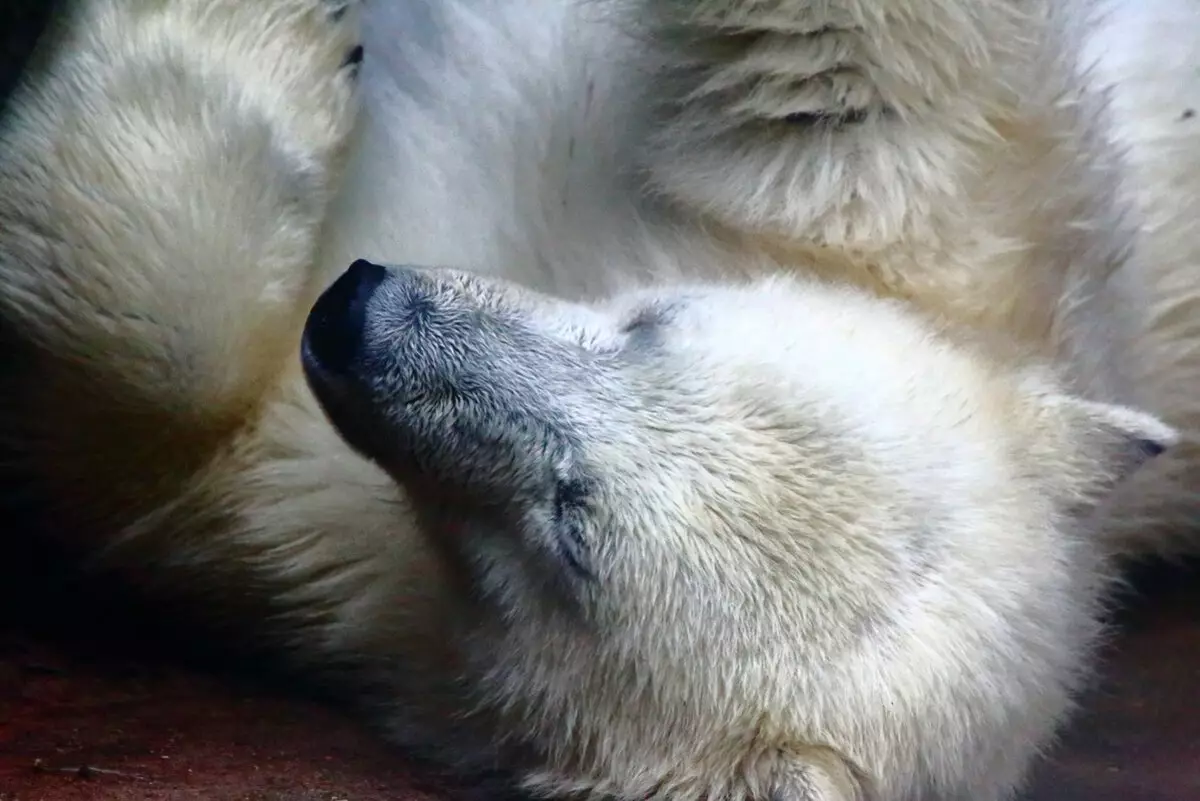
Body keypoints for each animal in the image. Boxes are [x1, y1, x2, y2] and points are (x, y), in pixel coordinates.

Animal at [2, 0, 1200, 796]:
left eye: (569, 521)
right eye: (651, 324)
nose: (358, 309)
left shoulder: (338, 561)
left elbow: (164, 421)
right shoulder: (950, 237)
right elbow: (850, 71)